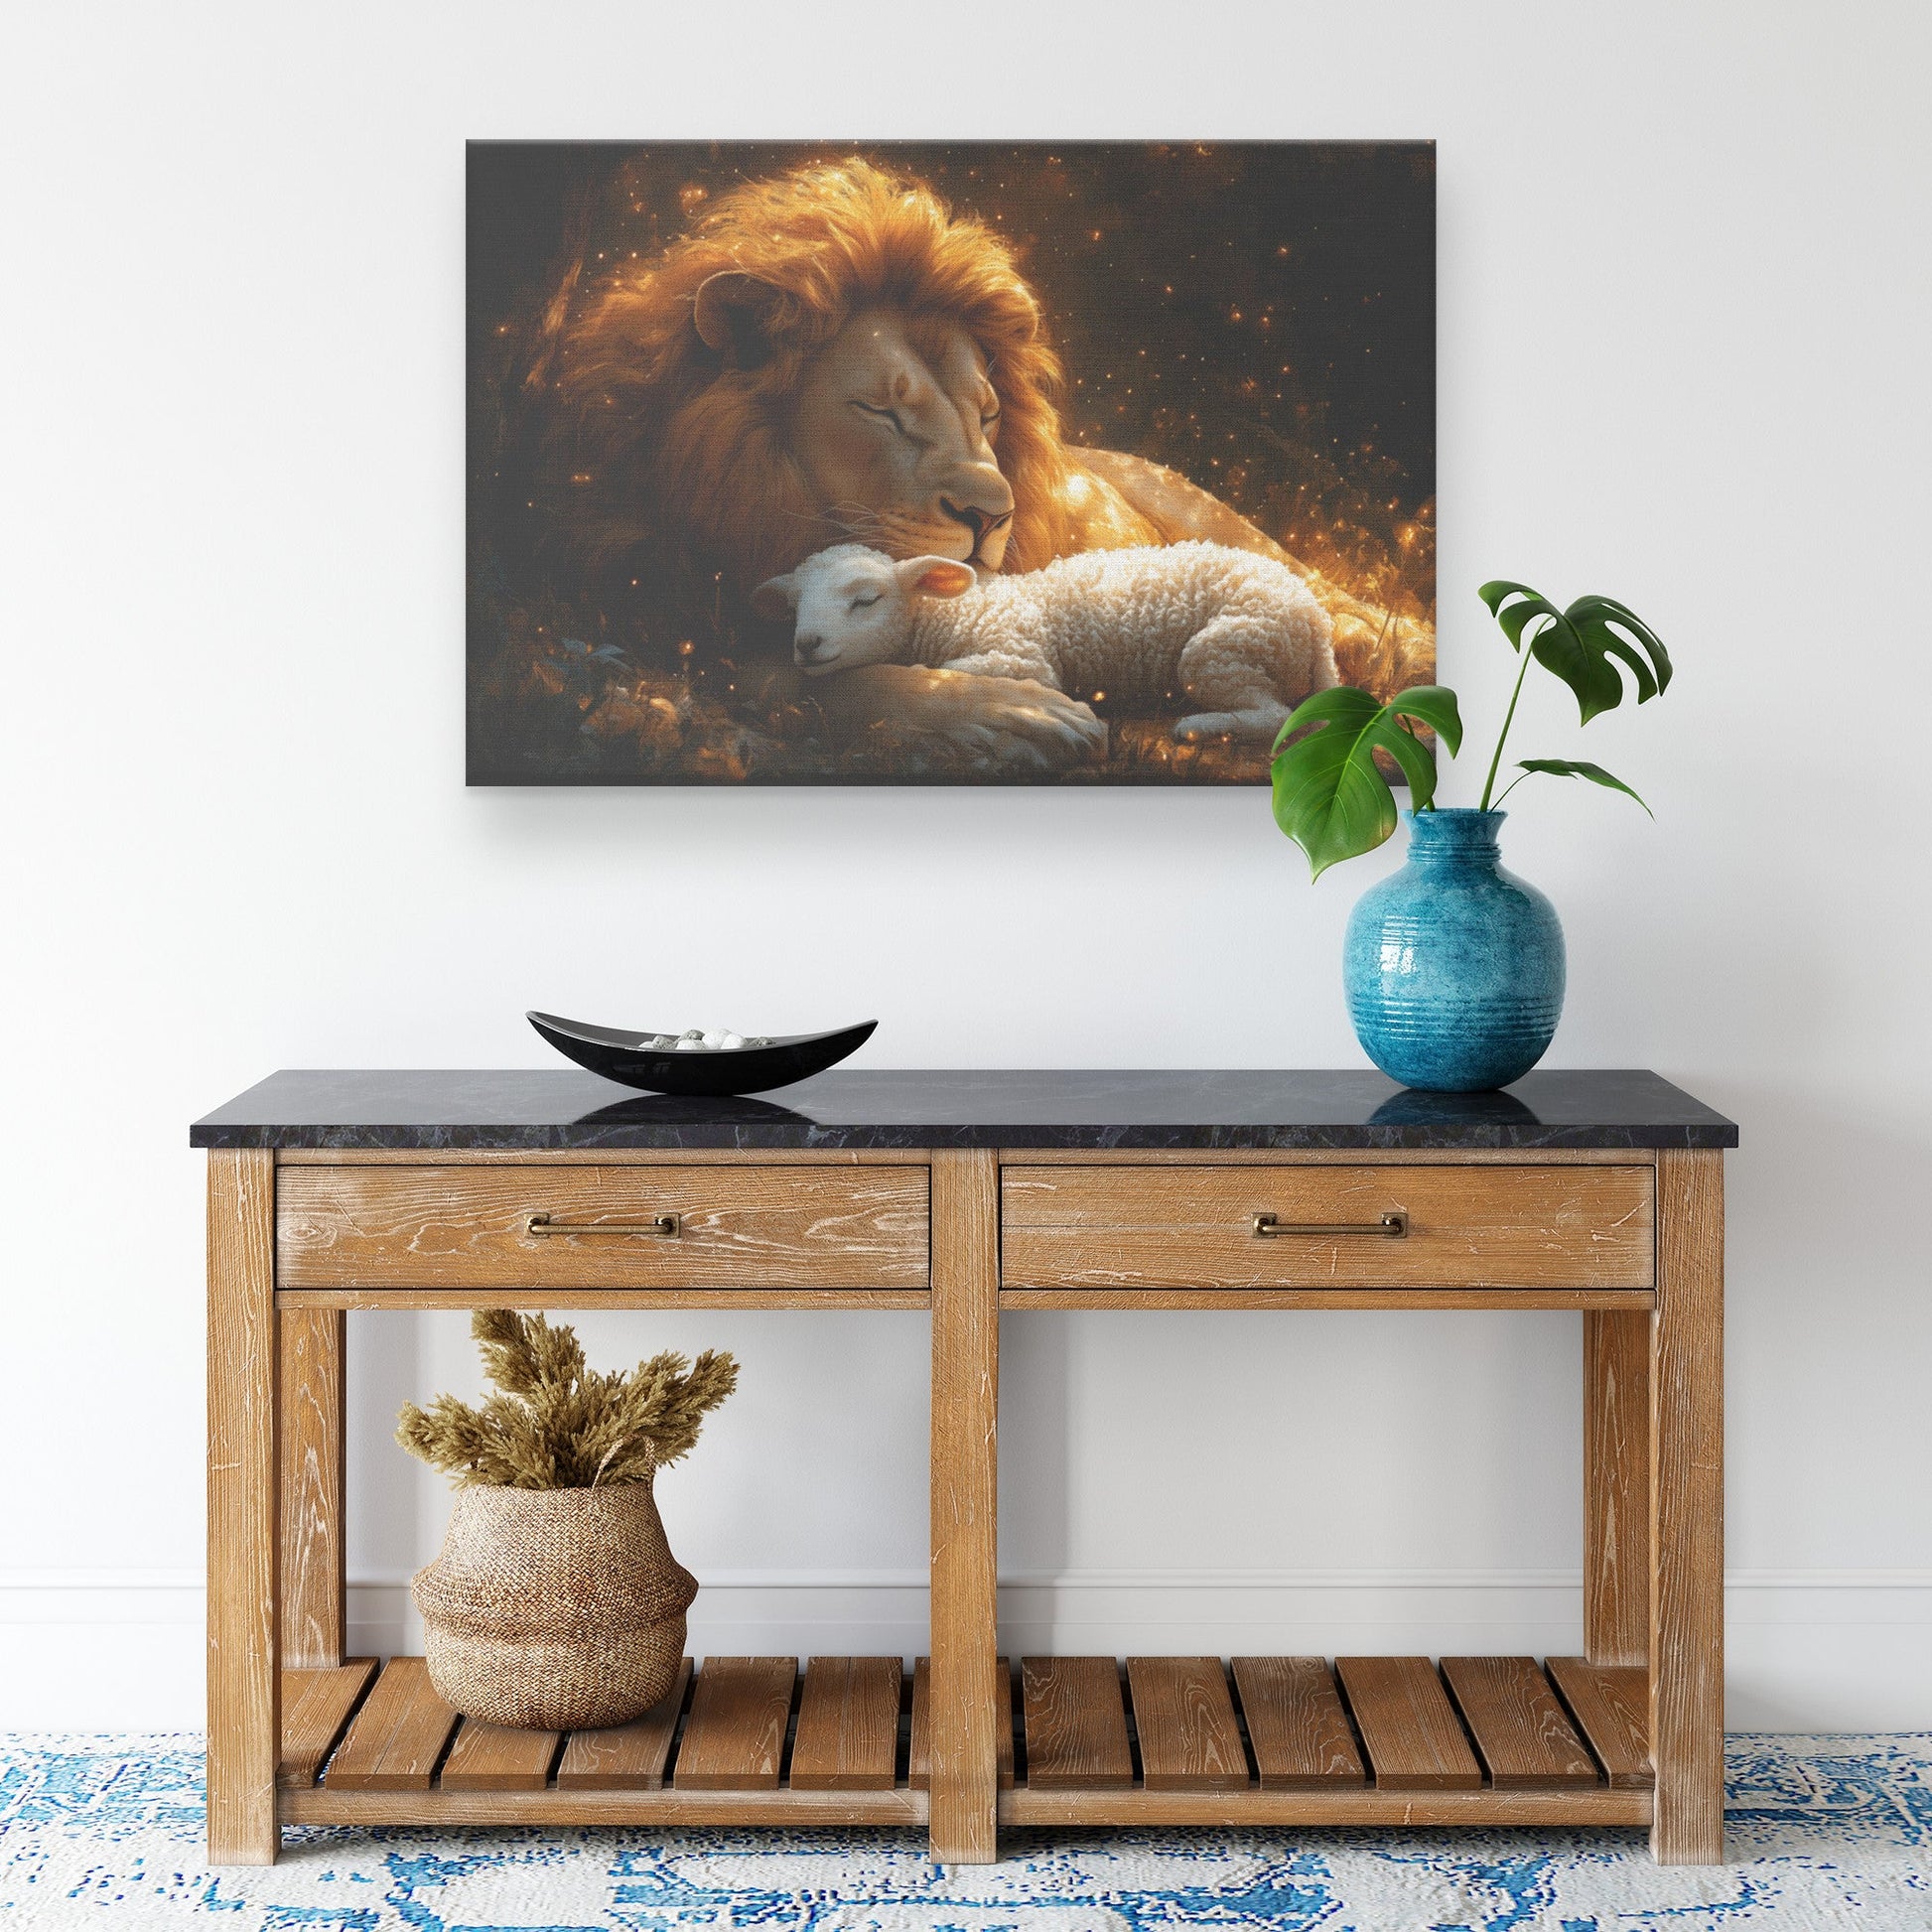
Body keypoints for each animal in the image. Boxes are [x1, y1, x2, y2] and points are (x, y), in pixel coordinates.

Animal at [752, 539, 1339, 741]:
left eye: (866, 601)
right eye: (794, 608)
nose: (807, 644)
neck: (944, 614)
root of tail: (1315, 619)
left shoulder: (1022, 657)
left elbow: (957, 675)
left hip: (1226, 648)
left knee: (1278, 716)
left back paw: (1200, 726)